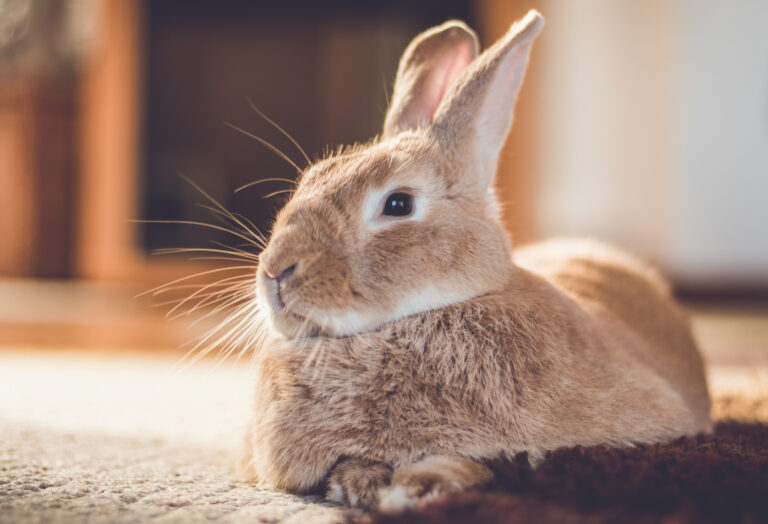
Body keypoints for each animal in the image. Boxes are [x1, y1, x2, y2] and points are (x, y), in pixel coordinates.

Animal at [240, 10, 712, 510]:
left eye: (398, 204)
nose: (275, 271)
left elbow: (486, 464)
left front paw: (411, 488)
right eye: (312, 178)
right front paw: (361, 484)